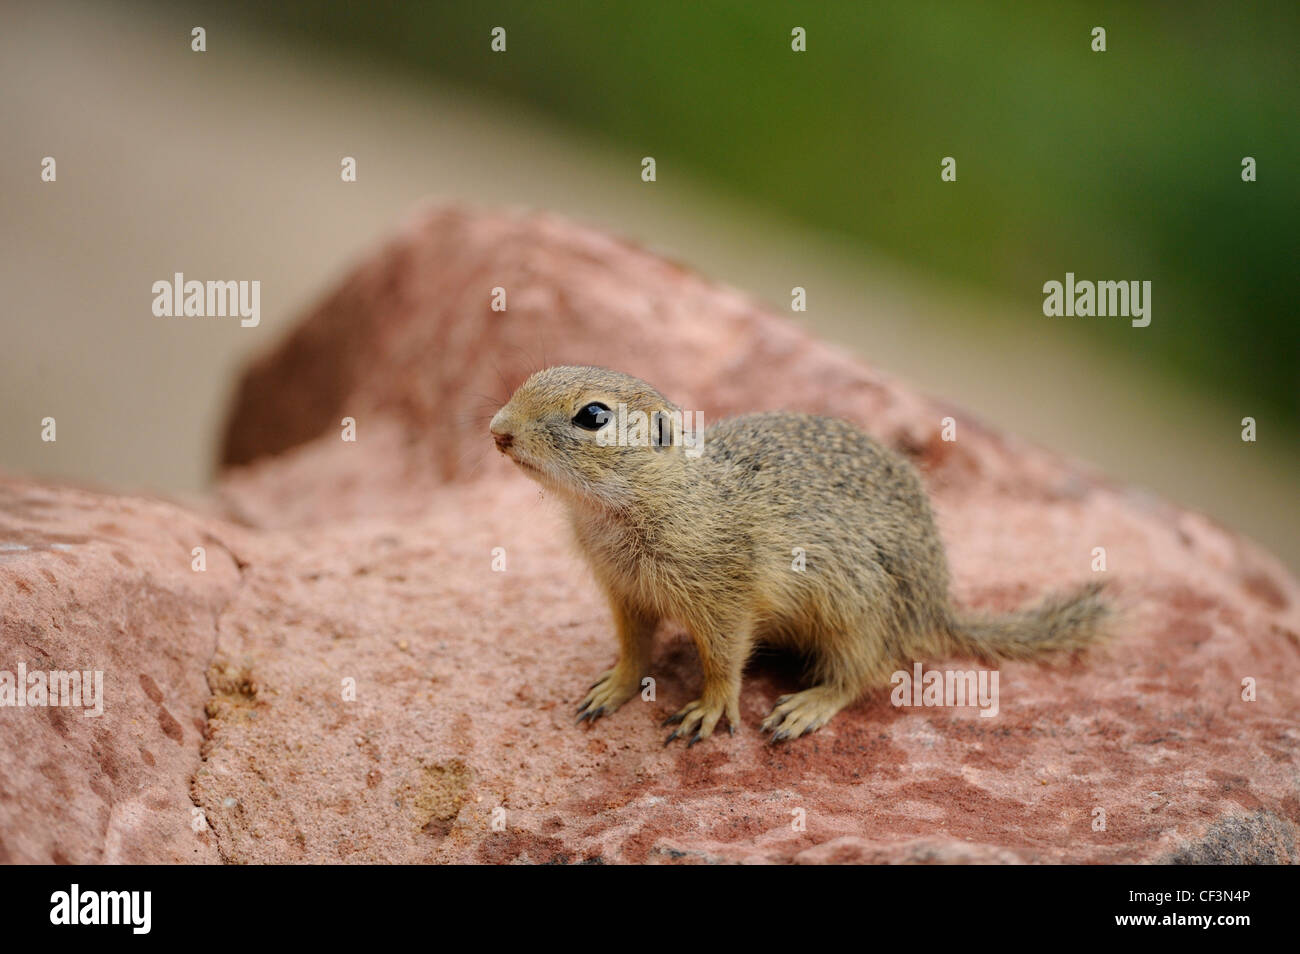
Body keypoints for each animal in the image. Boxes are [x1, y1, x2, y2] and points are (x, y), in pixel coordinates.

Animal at [490, 366, 1110, 745]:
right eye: (530, 379)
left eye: (593, 417)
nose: (497, 431)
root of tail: (937, 611)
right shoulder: (624, 595)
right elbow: (634, 650)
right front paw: (614, 688)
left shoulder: (726, 600)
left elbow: (723, 662)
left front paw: (710, 709)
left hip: (857, 615)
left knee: (863, 674)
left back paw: (807, 706)